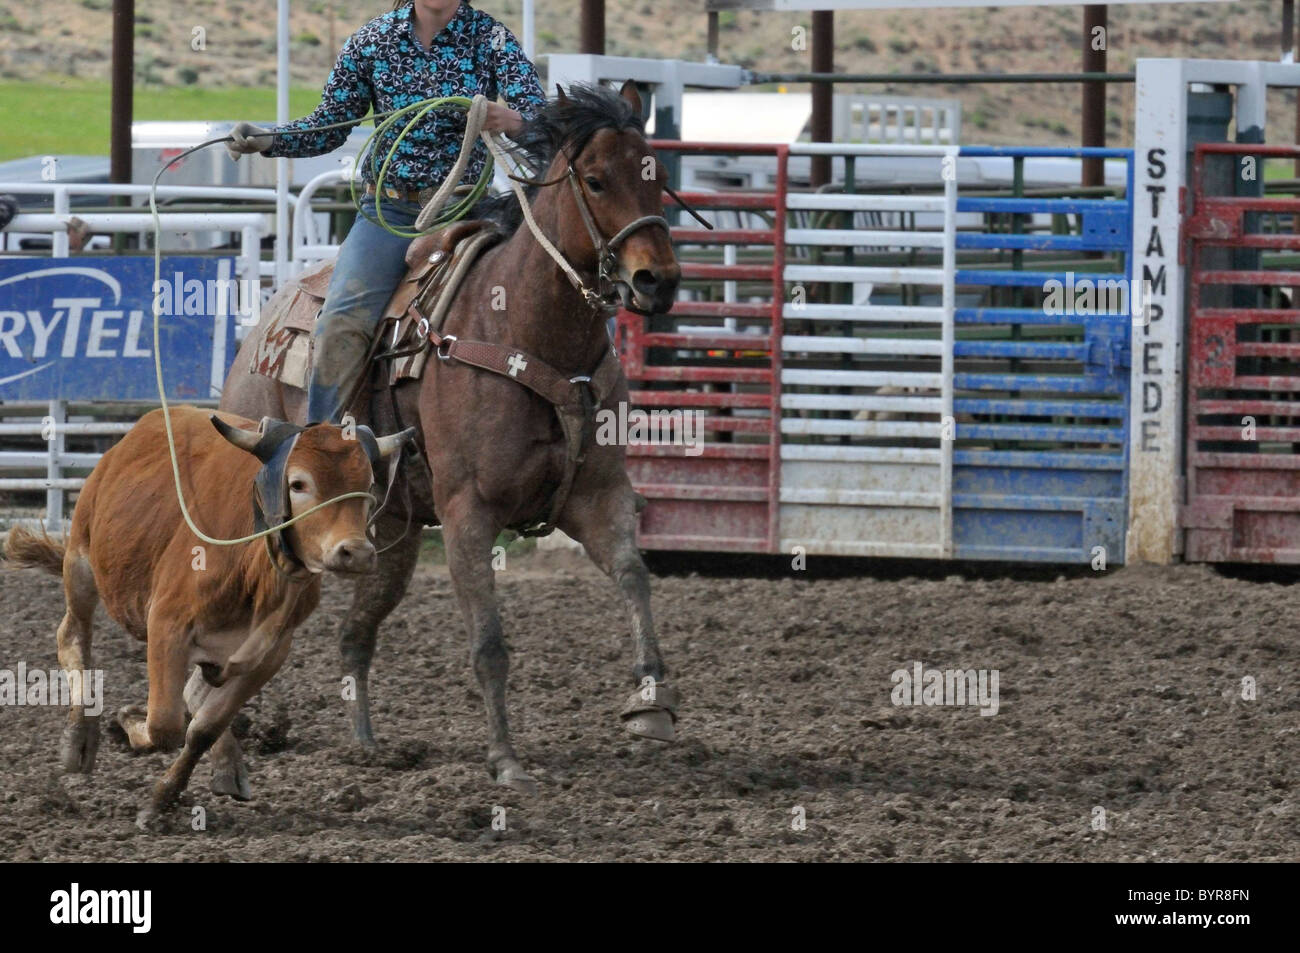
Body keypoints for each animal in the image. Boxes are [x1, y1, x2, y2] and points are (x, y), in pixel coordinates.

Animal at [3, 406, 412, 827]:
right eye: (298, 484)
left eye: (368, 484)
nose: (356, 552)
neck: (257, 570)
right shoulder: (166, 625)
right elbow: (164, 725)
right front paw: (130, 723)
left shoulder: (271, 654)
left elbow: (204, 729)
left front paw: (162, 799)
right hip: (81, 563)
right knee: (72, 637)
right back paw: (80, 739)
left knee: (196, 695)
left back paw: (227, 765)